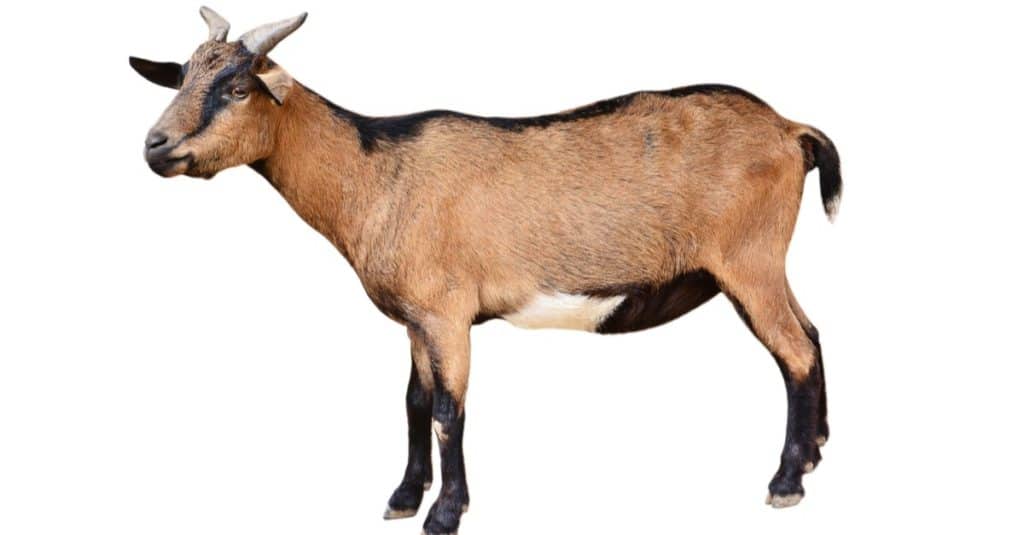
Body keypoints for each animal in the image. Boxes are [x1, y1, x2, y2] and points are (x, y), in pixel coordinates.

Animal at [130, 7, 842, 534]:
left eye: (237, 88)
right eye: (181, 78)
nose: (155, 147)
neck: (374, 173)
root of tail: (791, 129)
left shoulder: (448, 313)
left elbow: (450, 410)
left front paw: (445, 513)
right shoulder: (416, 319)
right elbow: (414, 401)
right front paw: (402, 496)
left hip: (747, 260)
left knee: (794, 351)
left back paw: (785, 481)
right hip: (764, 263)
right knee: (811, 335)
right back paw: (816, 452)